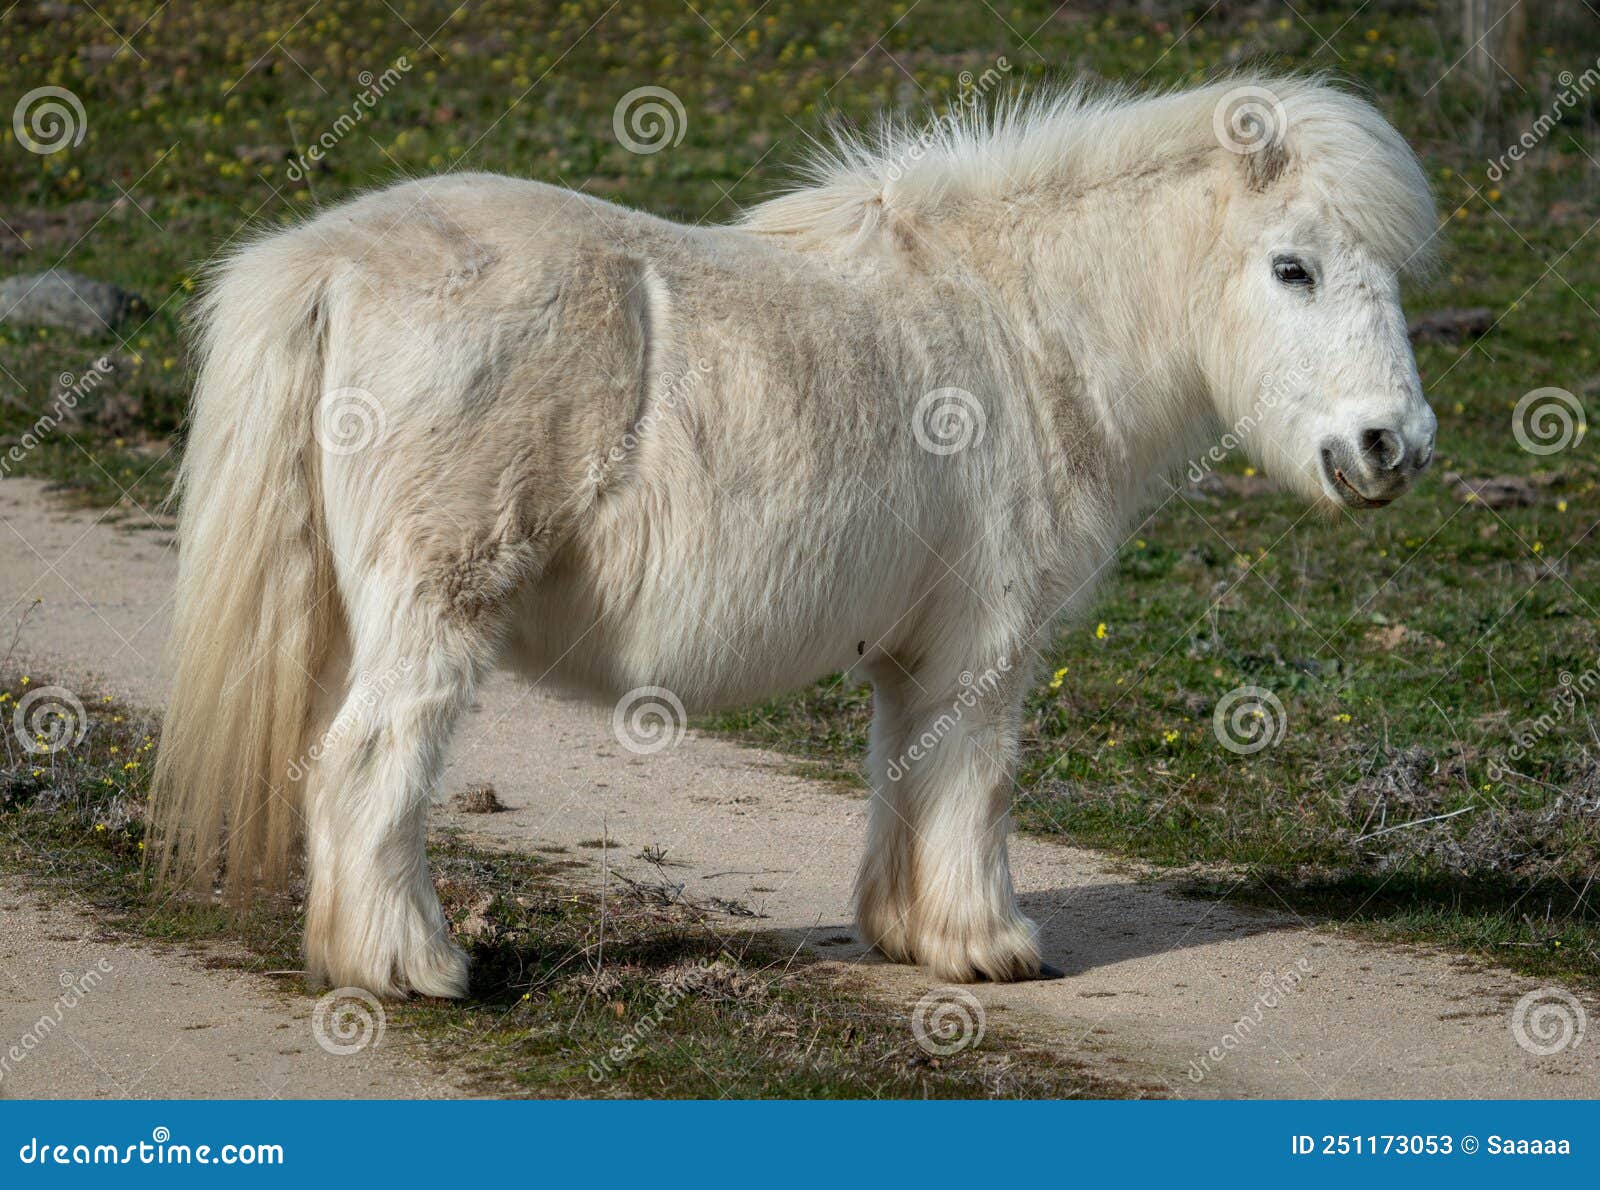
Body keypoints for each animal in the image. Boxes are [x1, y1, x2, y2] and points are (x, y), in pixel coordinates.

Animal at [151, 75, 1439, 998]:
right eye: (1292, 267)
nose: (1393, 444)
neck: (1017, 327)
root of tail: (331, 263)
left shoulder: (915, 653)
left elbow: (906, 771)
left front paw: (910, 932)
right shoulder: (987, 639)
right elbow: (980, 780)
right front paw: (991, 942)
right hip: (434, 608)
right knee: (371, 763)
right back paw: (412, 965)